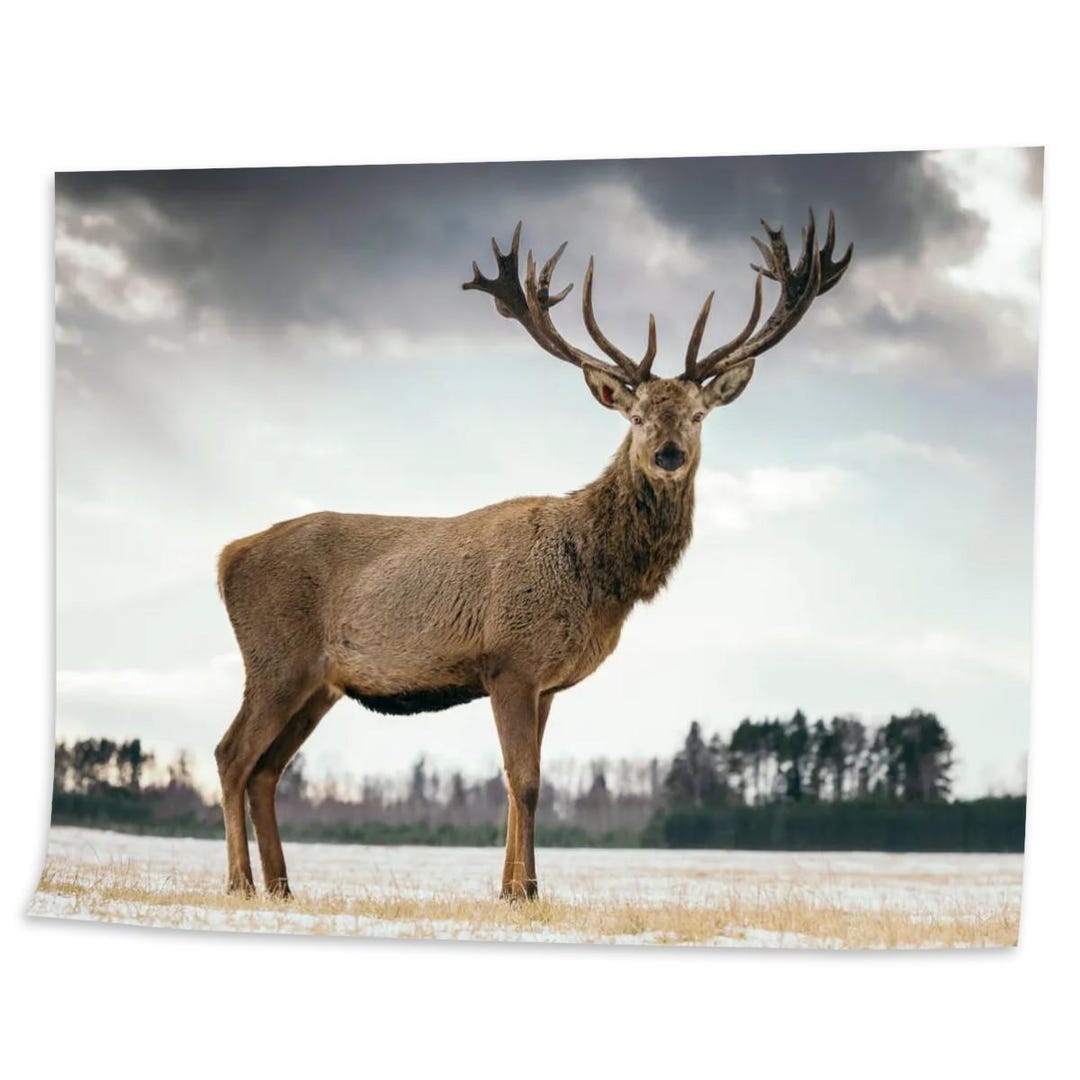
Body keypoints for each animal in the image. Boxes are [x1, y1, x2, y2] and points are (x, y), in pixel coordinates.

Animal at [215, 210, 852, 900]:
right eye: (634, 417)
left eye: (699, 415)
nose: (668, 455)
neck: (597, 577)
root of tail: (227, 558)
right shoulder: (509, 660)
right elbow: (525, 782)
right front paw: (525, 889)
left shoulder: (547, 682)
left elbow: (522, 784)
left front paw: (513, 887)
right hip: (277, 658)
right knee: (231, 756)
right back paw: (241, 883)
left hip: (319, 683)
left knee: (266, 769)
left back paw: (280, 885)